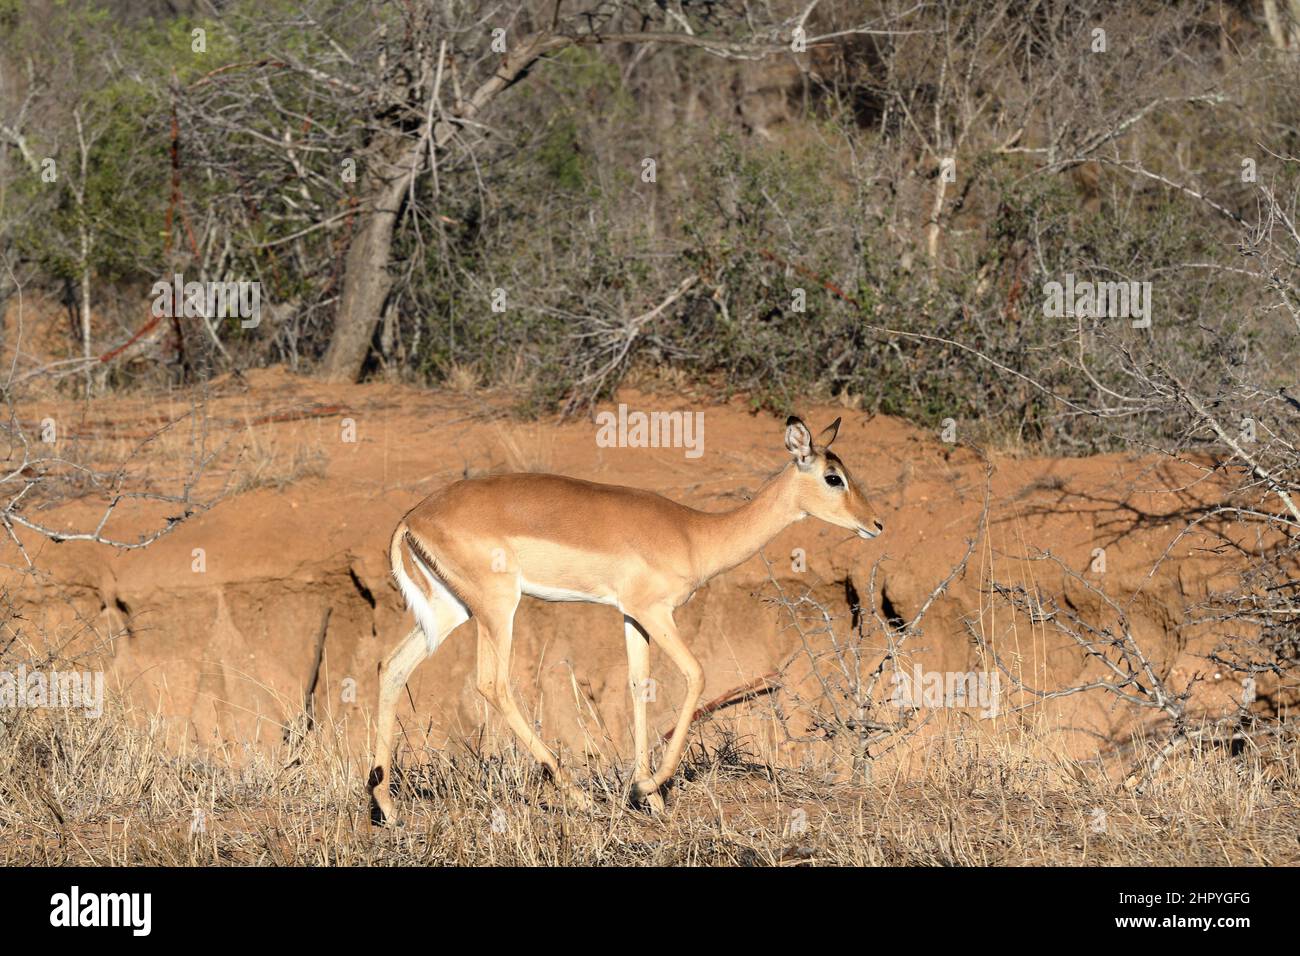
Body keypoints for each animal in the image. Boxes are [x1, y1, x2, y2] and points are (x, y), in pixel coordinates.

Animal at [369, 415, 883, 824]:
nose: (876, 524)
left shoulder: (633, 618)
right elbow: (696, 675)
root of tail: (414, 518)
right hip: (497, 608)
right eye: (833, 477)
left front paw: (647, 797)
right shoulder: (656, 613)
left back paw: (387, 807)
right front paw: (646, 788)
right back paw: (578, 797)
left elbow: (640, 686)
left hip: (449, 610)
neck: (695, 534)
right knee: (491, 683)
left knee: (391, 666)